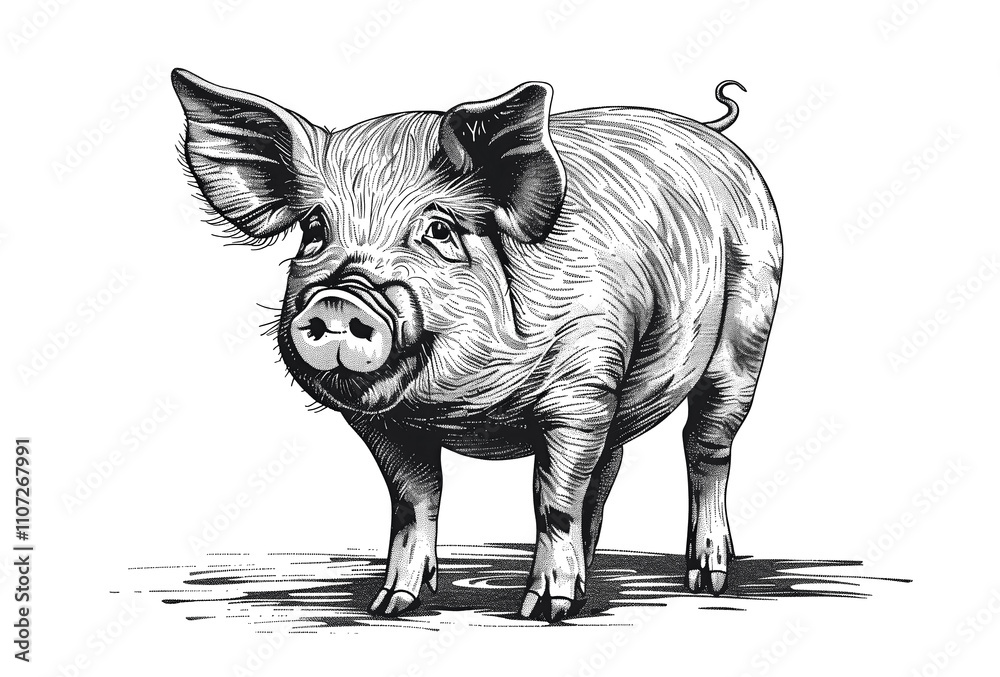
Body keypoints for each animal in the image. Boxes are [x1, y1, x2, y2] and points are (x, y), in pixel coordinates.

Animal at [172, 69, 782, 622]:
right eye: (315, 230)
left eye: (439, 230)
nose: (340, 299)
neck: (463, 411)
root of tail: (709, 130)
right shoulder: (386, 423)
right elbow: (414, 499)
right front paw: (391, 606)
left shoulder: (580, 389)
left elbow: (552, 499)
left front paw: (543, 611)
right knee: (609, 470)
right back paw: (589, 583)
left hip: (747, 332)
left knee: (707, 446)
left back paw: (707, 579)